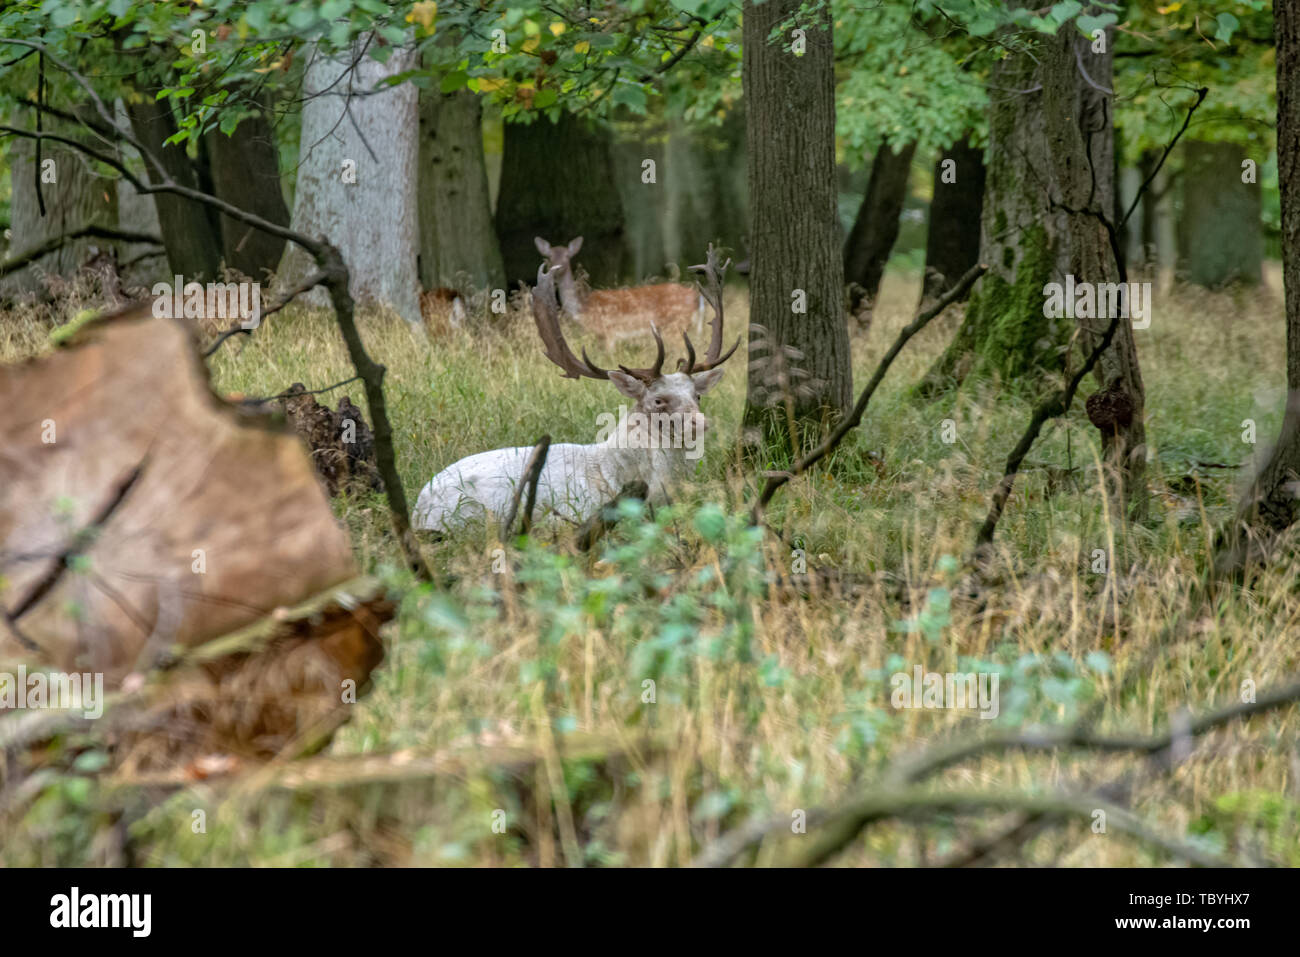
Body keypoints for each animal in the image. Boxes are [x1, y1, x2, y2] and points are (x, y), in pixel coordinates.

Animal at [534, 236, 706, 347]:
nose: (558, 268)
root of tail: (696, 297)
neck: (583, 308)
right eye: (549, 256)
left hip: (676, 325)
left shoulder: (609, 333)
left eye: (567, 256)